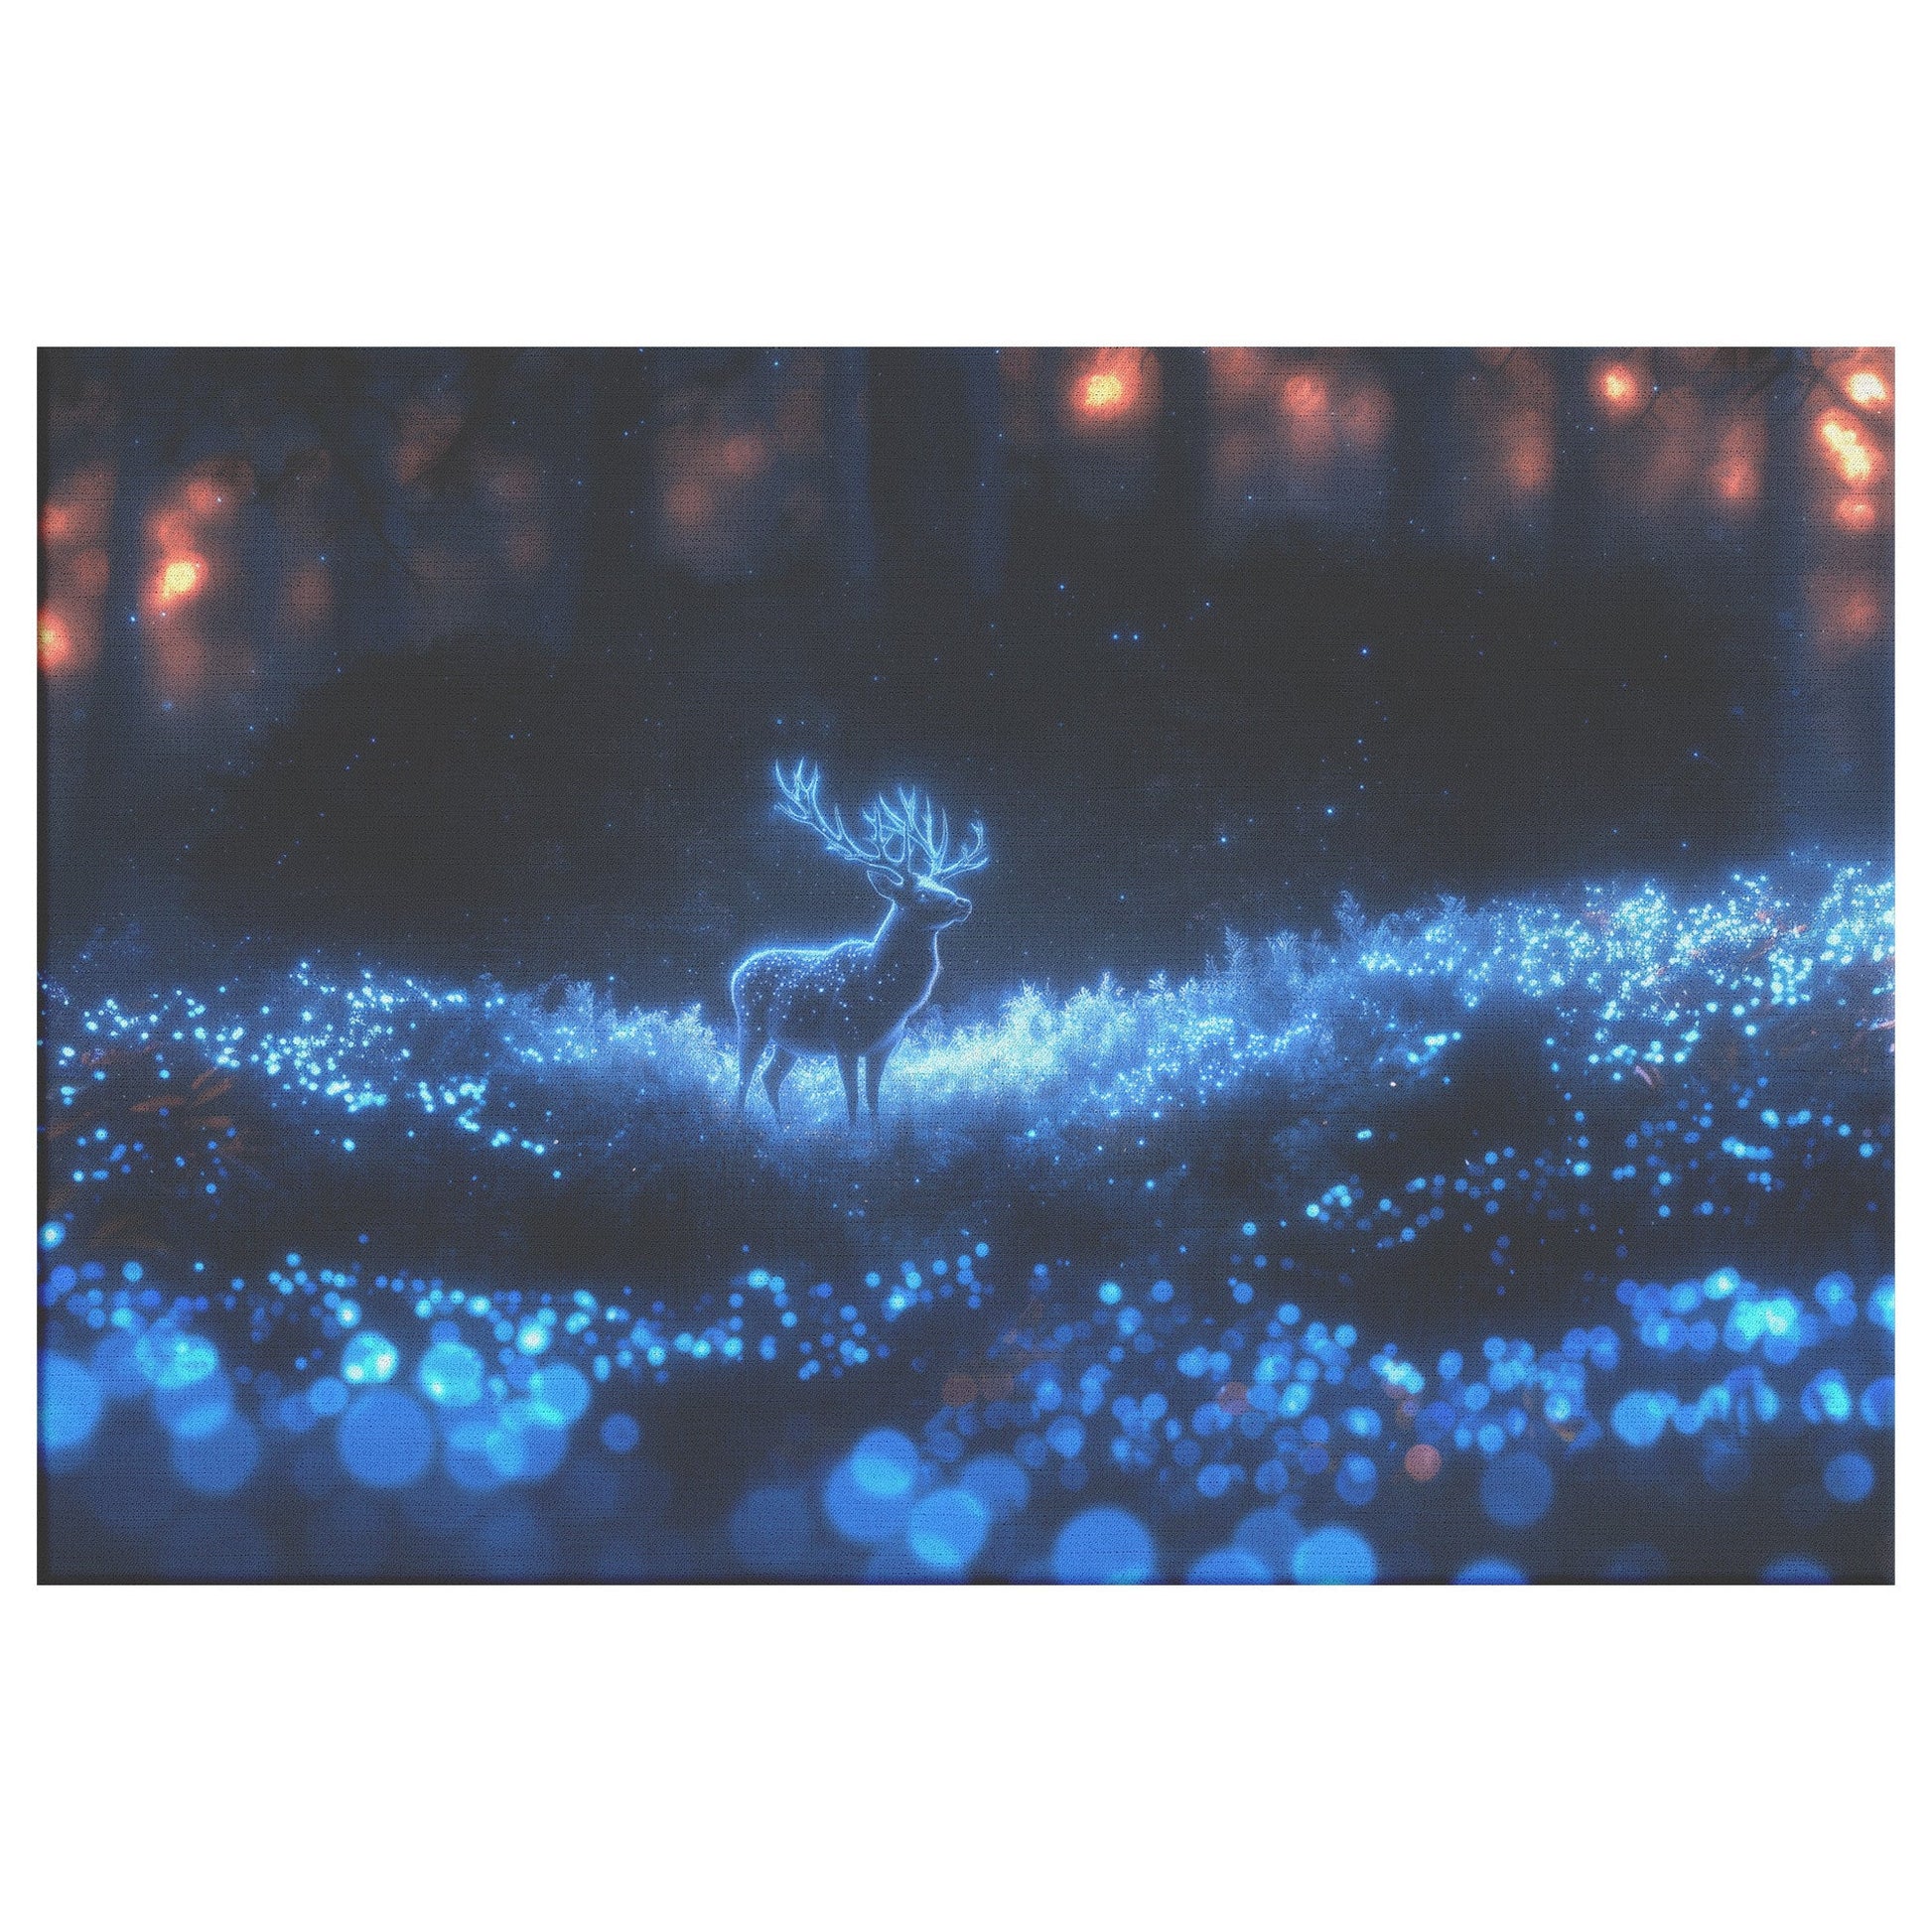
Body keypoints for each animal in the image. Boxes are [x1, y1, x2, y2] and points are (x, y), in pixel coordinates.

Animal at [731, 762, 989, 1127]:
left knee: (770, 1077)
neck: (882, 995)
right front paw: (852, 1140)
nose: (963, 902)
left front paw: (877, 1139)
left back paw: (783, 1129)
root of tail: (737, 971)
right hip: (750, 1021)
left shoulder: (885, 1046)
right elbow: (852, 1102)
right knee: (742, 1080)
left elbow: (873, 1101)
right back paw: (740, 1127)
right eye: (922, 893)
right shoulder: (844, 1039)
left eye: (940, 884)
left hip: (788, 1043)